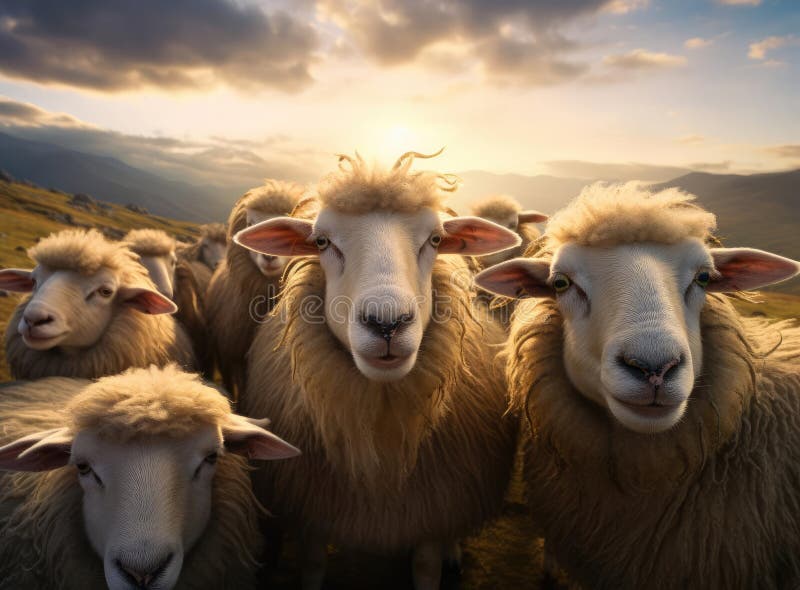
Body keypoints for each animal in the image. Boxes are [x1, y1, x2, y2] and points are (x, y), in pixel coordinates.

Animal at [234, 151, 522, 590]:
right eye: (322, 242)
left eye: (436, 240)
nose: (387, 323)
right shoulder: (313, 506)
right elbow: (313, 565)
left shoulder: (431, 512)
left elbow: (427, 568)